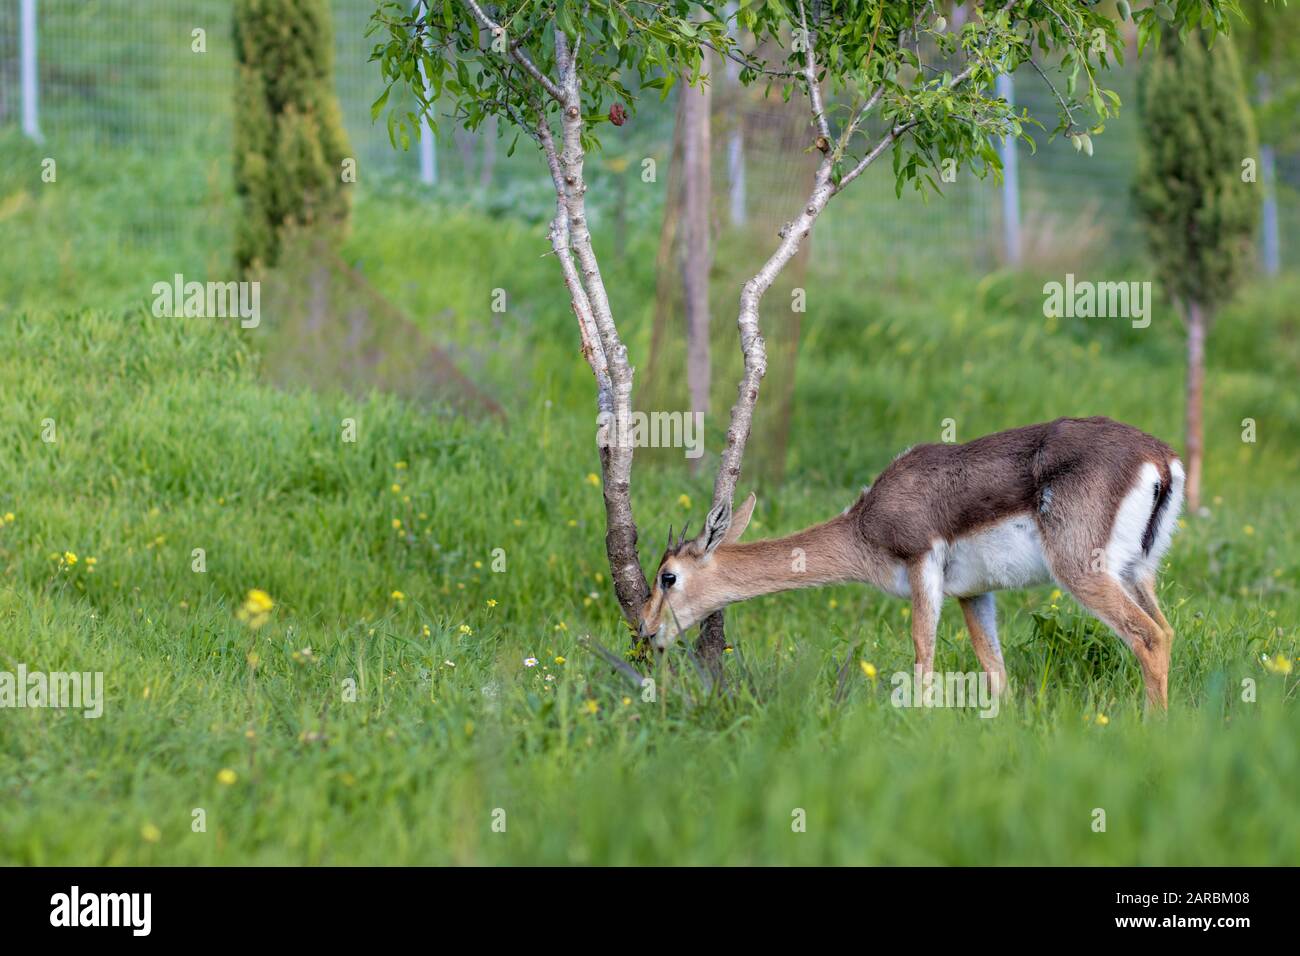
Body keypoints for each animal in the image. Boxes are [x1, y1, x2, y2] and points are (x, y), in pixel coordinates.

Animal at [638, 417, 1185, 709]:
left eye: (668, 576)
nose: (645, 631)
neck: (865, 524)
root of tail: (1160, 458)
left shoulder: (922, 563)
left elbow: (922, 654)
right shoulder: (972, 593)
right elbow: (994, 669)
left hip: (1082, 572)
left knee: (1148, 636)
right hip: (1136, 574)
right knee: (1166, 629)